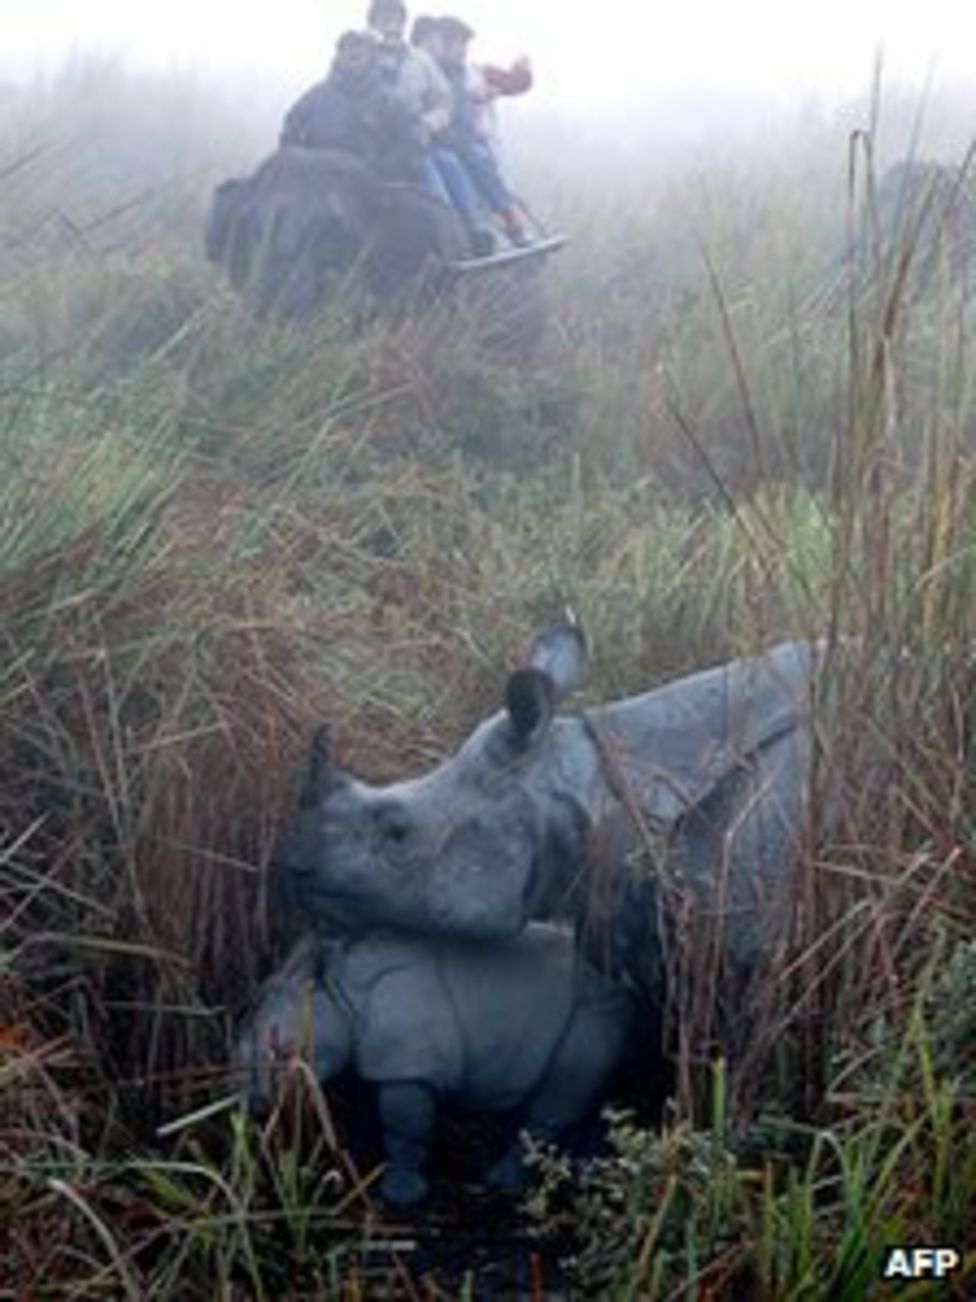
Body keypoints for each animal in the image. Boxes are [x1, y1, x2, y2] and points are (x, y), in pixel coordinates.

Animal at [237, 925, 635, 1206]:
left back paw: (502, 1186)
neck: (340, 992)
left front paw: (401, 1197)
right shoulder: (385, 1059)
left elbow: (404, 1127)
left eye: (284, 1052)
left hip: (593, 1011)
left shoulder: (409, 1068)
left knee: (557, 1099)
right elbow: (378, 1115)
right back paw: (586, 1180)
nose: (255, 1104)